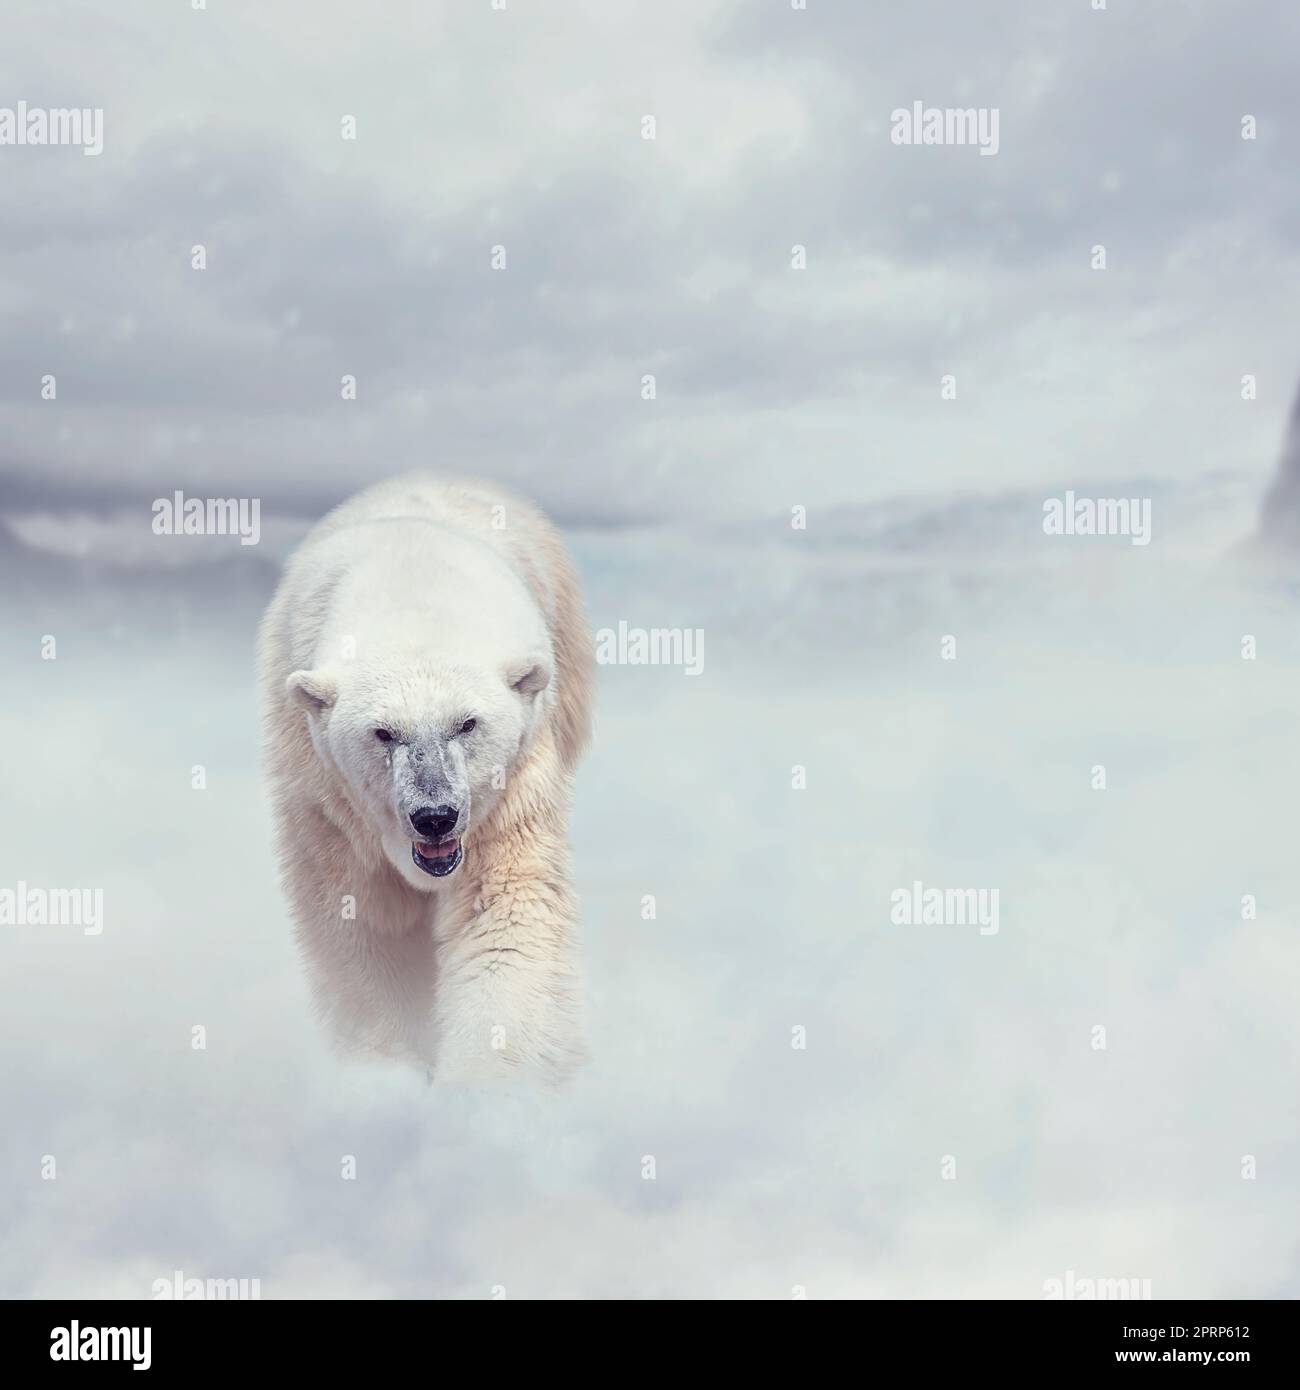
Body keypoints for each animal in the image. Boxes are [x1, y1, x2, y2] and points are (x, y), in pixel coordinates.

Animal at [257, 474, 593, 1083]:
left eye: (468, 722)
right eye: (383, 732)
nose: (434, 817)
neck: (413, 595)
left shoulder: (513, 785)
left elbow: (503, 909)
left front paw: (490, 1082)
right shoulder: (324, 793)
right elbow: (362, 918)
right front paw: (386, 1071)